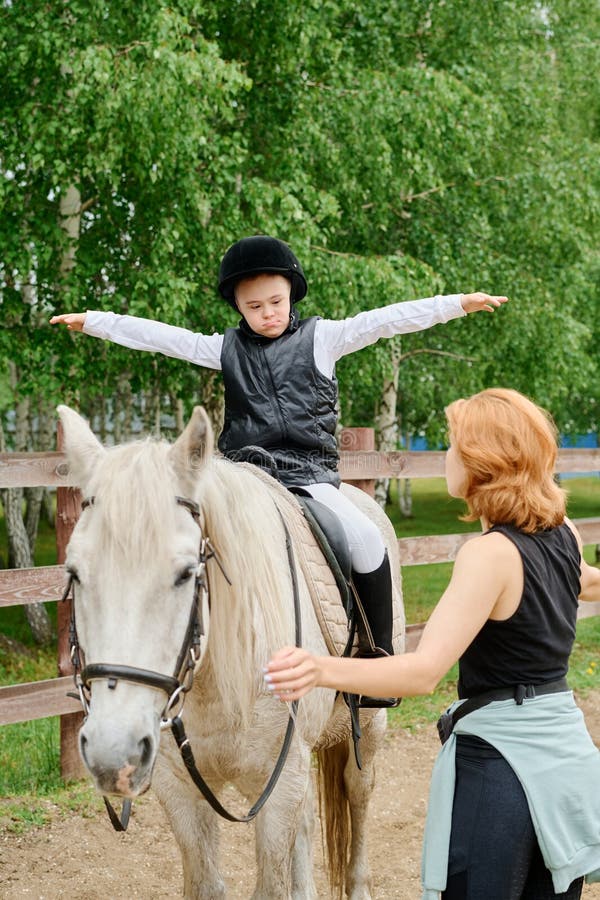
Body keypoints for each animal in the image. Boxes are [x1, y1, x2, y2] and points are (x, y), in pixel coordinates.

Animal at [58, 404, 405, 899]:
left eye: (187, 573)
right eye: (75, 573)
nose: (113, 751)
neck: (214, 684)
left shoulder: (278, 786)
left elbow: (273, 883)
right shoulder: (180, 789)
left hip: (370, 724)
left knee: (358, 792)